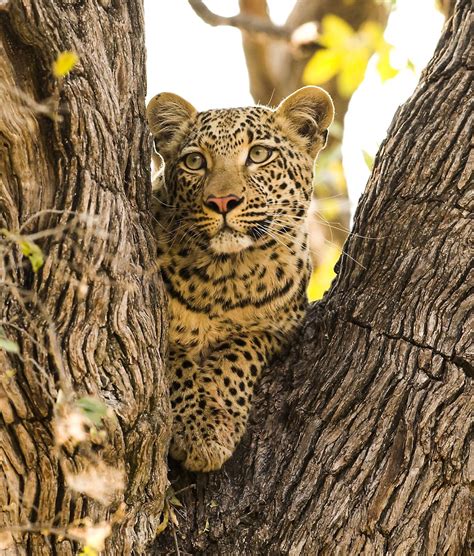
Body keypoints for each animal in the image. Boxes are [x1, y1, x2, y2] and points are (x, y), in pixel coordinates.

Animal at [146, 84, 336, 472]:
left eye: (259, 154)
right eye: (194, 161)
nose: (222, 202)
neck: (228, 275)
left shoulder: (281, 330)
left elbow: (239, 352)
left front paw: (211, 425)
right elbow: (174, 358)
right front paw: (199, 425)